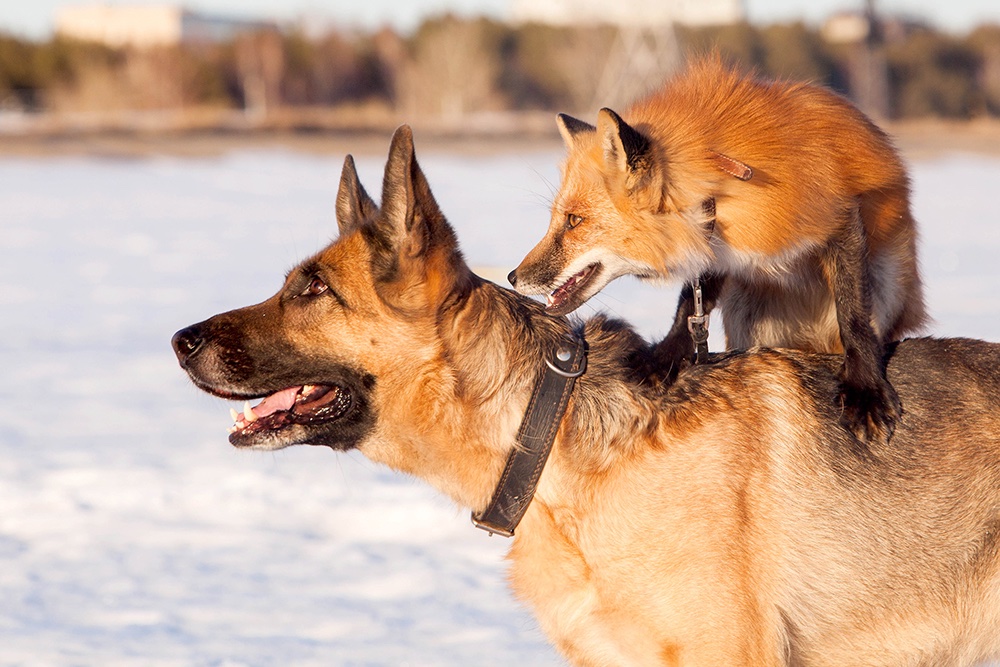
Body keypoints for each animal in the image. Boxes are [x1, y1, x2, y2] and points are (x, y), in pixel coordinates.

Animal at [508, 55, 926, 443]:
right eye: (560, 218)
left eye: (574, 221)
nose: (513, 277)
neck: (720, 186)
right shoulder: (713, 248)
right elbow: (688, 308)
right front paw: (664, 359)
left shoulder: (840, 218)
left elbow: (853, 316)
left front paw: (865, 391)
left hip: (886, 282)